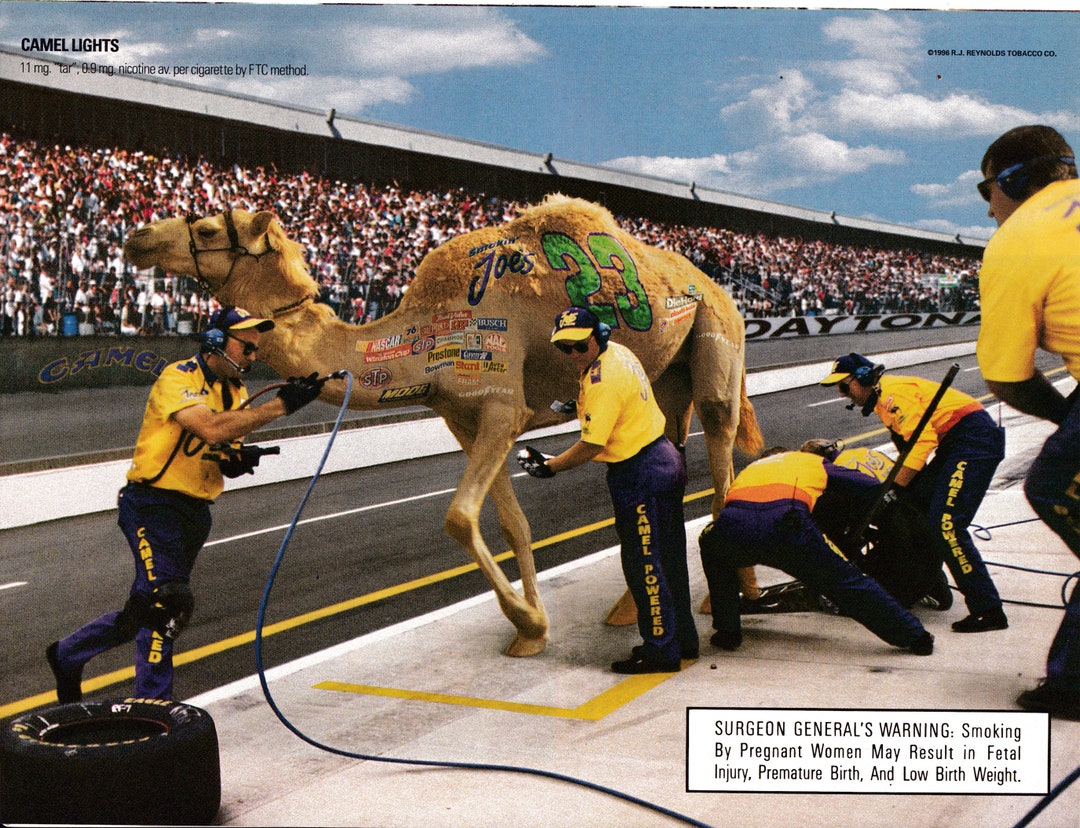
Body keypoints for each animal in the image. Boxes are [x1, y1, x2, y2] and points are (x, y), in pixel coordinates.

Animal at [123, 195, 763, 657]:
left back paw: (731, 597)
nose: (137, 238)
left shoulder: (501, 405)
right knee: (669, 450)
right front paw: (531, 633)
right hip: (666, 373)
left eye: (208, 229)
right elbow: (510, 522)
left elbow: (458, 516)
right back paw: (629, 608)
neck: (421, 338)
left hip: (717, 337)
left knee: (722, 449)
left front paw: (528, 619)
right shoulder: (463, 417)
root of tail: (717, 286)